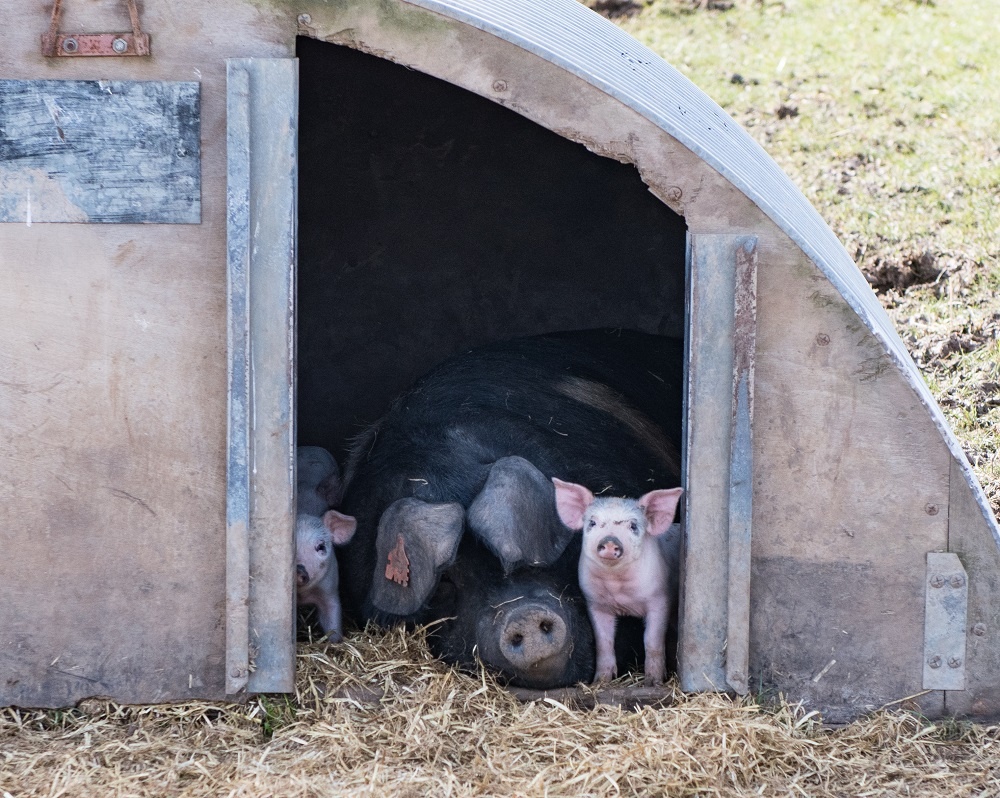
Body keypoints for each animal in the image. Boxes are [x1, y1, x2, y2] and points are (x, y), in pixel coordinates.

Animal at [552, 479, 683, 685]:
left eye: (633, 525)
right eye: (592, 522)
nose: (610, 541)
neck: (617, 586)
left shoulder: (660, 599)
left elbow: (652, 641)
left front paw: (653, 682)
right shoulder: (595, 603)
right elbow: (603, 641)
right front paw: (601, 681)